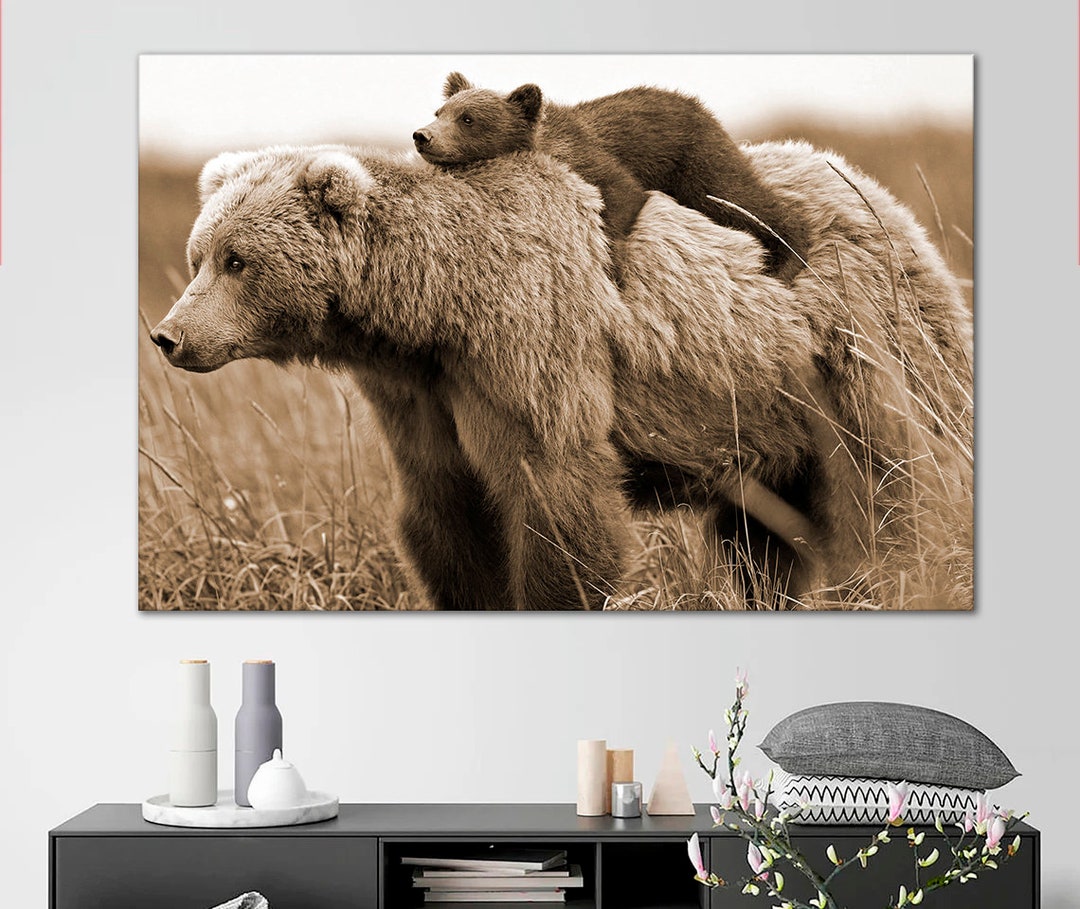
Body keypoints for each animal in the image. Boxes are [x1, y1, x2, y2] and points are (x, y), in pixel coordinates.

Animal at [150, 141, 972, 610]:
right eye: (199, 254)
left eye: (236, 260)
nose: (169, 335)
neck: (433, 309)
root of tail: (887, 200)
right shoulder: (421, 395)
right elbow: (447, 513)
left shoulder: (529, 345)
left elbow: (557, 500)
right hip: (765, 417)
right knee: (761, 537)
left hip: (857, 351)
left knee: (891, 486)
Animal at [412, 72, 813, 284]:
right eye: (439, 111)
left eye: (468, 118)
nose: (422, 136)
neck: (546, 144)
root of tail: (701, 107)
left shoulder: (592, 159)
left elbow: (622, 194)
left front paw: (614, 267)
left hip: (696, 159)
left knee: (738, 198)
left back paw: (788, 257)